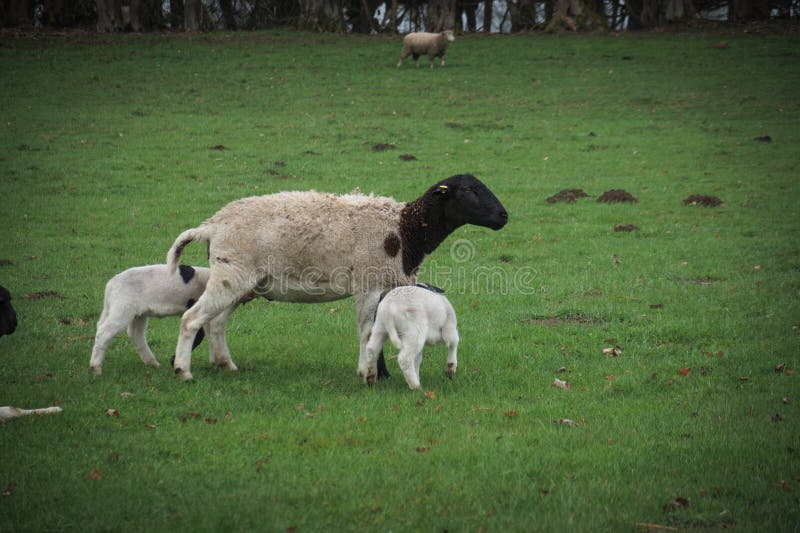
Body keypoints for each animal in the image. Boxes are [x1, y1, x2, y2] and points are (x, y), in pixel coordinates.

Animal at [166, 173, 508, 381]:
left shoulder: (387, 285)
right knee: (192, 320)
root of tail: (211, 225)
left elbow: (378, 331)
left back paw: (226, 365)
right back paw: (183, 370)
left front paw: (380, 372)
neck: (404, 230)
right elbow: (366, 331)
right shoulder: (369, 282)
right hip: (231, 274)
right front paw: (367, 372)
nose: (504, 217)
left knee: (215, 324)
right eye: (470, 190)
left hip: (239, 280)